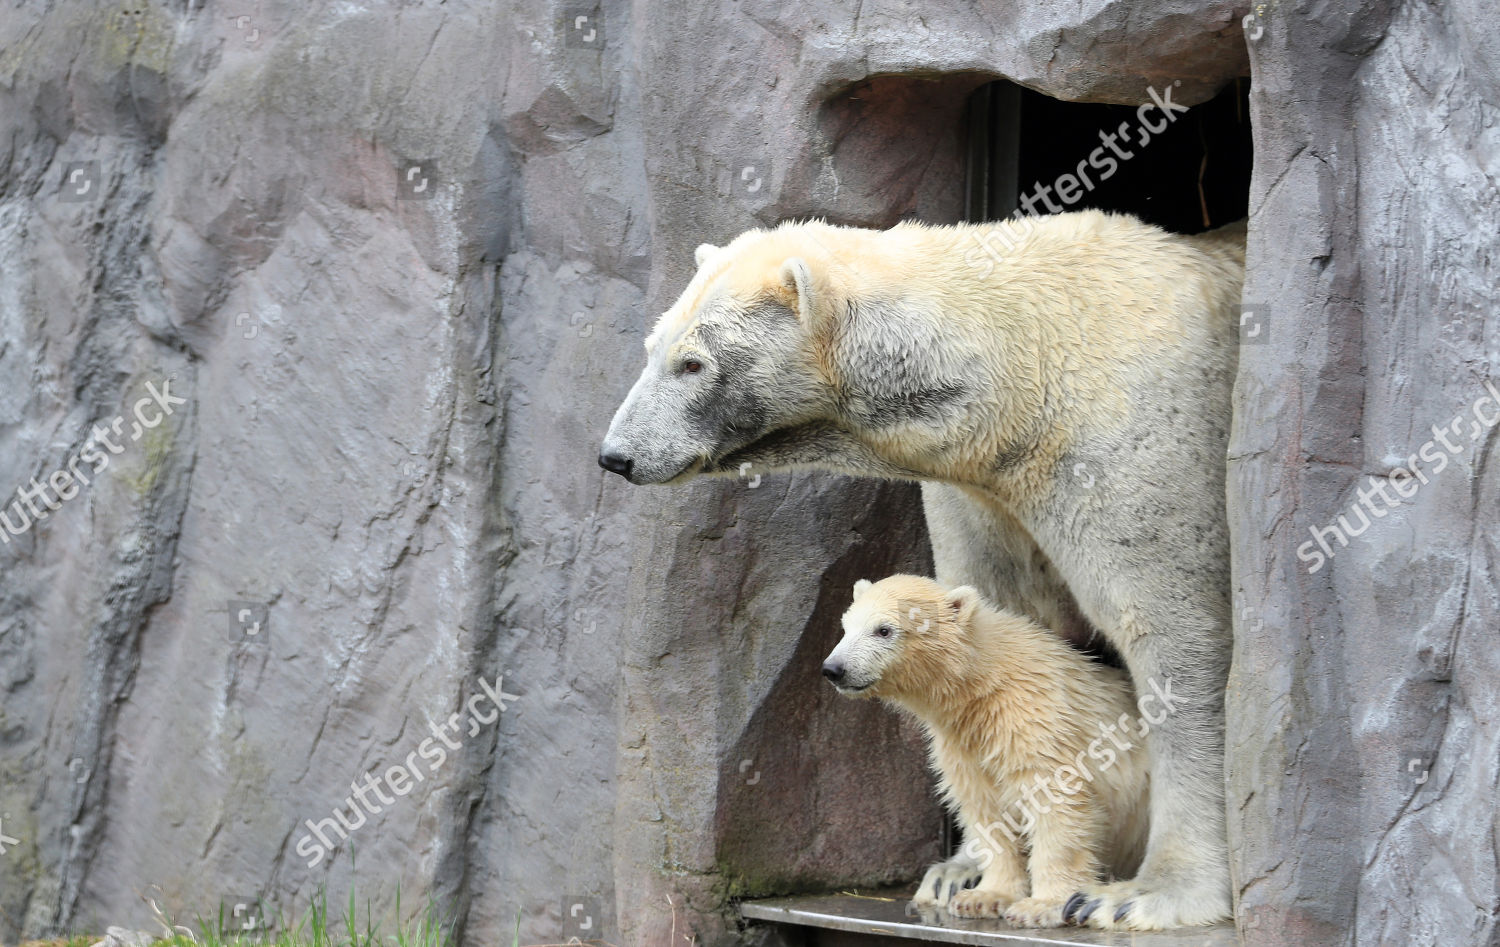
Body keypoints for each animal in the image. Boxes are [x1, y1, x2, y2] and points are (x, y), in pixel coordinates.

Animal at [823, 574, 1151, 928]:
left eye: (883, 629)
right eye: (846, 626)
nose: (833, 668)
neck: (984, 680)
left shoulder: (1037, 719)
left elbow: (1056, 805)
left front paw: (1042, 906)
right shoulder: (963, 743)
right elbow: (987, 809)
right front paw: (984, 897)